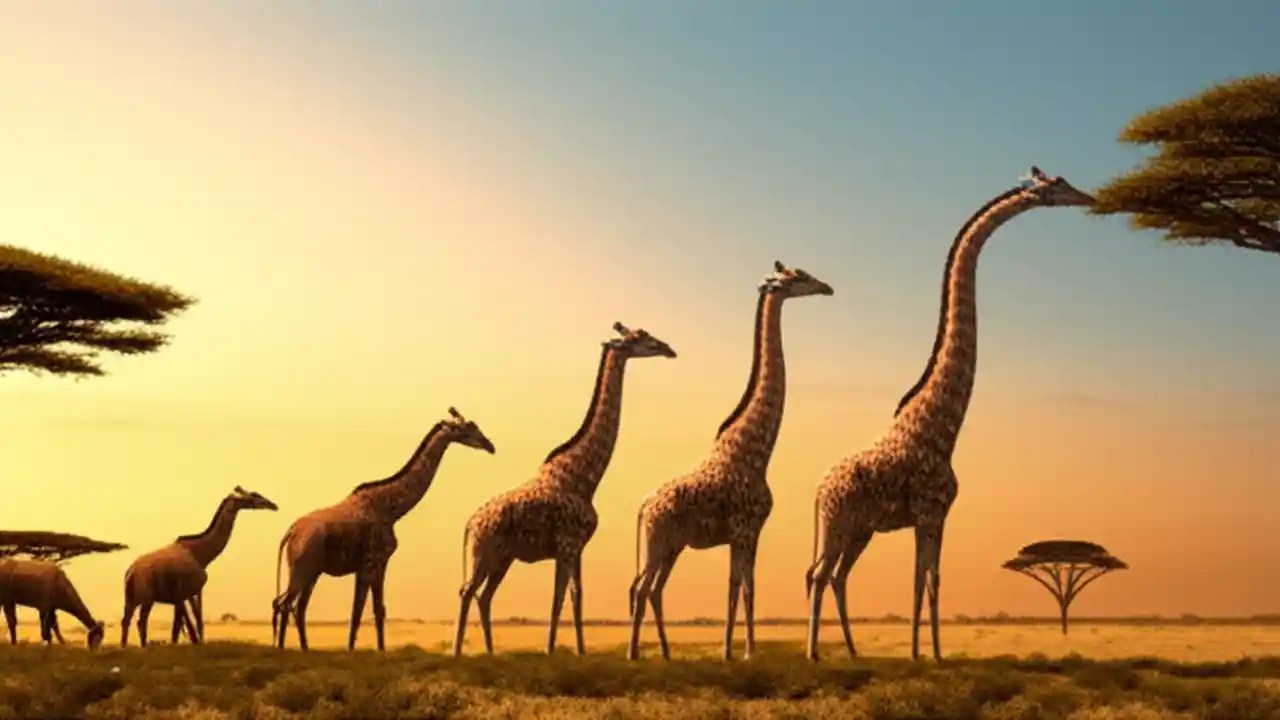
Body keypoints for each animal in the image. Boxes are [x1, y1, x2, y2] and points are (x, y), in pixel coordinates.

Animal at [121, 486, 277, 647]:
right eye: (254, 496)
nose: (273, 505)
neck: (201, 554)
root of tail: (130, 574)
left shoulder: (184, 595)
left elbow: (183, 625)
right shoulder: (187, 592)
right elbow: (190, 624)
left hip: (132, 598)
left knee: (128, 620)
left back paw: (127, 645)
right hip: (146, 597)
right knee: (141, 620)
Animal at [272, 407, 495, 652]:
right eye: (467, 428)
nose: (490, 445)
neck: (392, 508)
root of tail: (289, 533)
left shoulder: (373, 564)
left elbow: (373, 610)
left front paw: (372, 649)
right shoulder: (373, 561)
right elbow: (362, 611)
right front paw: (361, 650)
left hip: (313, 571)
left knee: (296, 606)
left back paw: (304, 648)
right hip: (302, 567)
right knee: (285, 603)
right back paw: (282, 649)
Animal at [453, 322, 676, 658]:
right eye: (640, 337)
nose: (668, 348)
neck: (584, 478)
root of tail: (469, 523)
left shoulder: (577, 548)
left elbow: (576, 594)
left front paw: (580, 651)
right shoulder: (566, 545)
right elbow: (558, 597)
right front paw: (549, 650)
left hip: (503, 557)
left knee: (484, 596)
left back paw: (491, 652)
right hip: (484, 550)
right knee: (467, 591)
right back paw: (456, 653)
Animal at [627, 261, 833, 661]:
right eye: (798, 276)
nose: (827, 288)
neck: (755, 453)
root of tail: (644, 506)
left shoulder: (743, 534)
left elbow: (739, 584)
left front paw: (733, 651)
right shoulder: (746, 529)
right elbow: (744, 585)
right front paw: (746, 652)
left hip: (671, 544)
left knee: (649, 588)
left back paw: (659, 652)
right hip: (659, 541)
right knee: (642, 588)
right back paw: (633, 654)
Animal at [804, 167, 1094, 662]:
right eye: (1055, 185)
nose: (1087, 198)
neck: (939, 430)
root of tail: (820, 491)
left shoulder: (933, 517)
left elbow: (927, 580)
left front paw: (924, 652)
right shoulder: (931, 511)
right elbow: (925, 581)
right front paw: (930, 654)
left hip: (859, 529)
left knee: (836, 577)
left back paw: (854, 650)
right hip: (839, 523)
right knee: (819, 575)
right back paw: (814, 653)